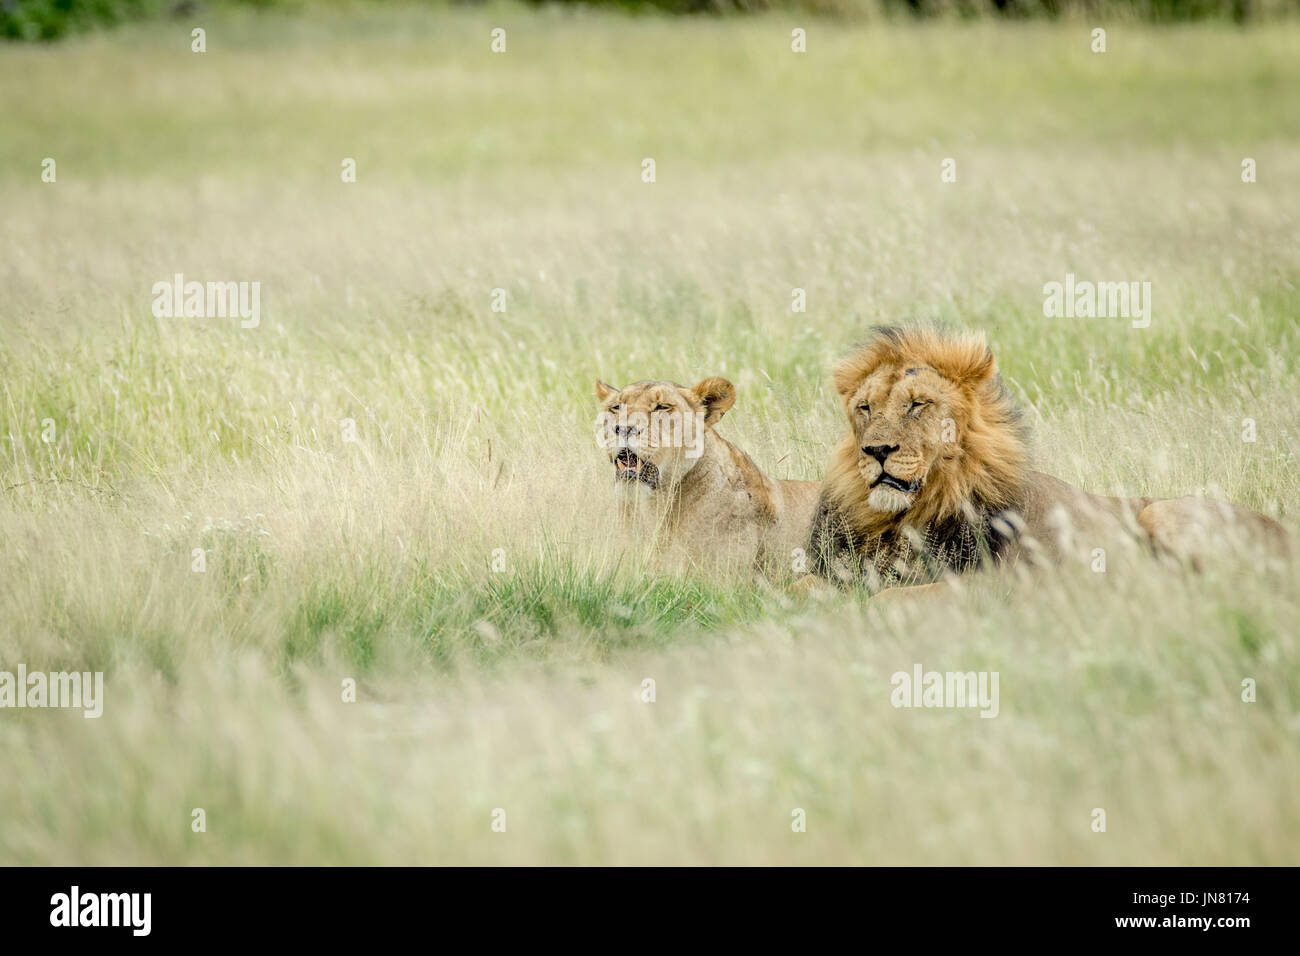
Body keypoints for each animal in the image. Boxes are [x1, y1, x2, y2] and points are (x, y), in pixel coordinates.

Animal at [807, 325, 1289, 592]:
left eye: (917, 405)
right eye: (865, 408)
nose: (876, 451)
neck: (905, 516)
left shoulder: (984, 585)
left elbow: (894, 596)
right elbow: (802, 582)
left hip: (1165, 513)